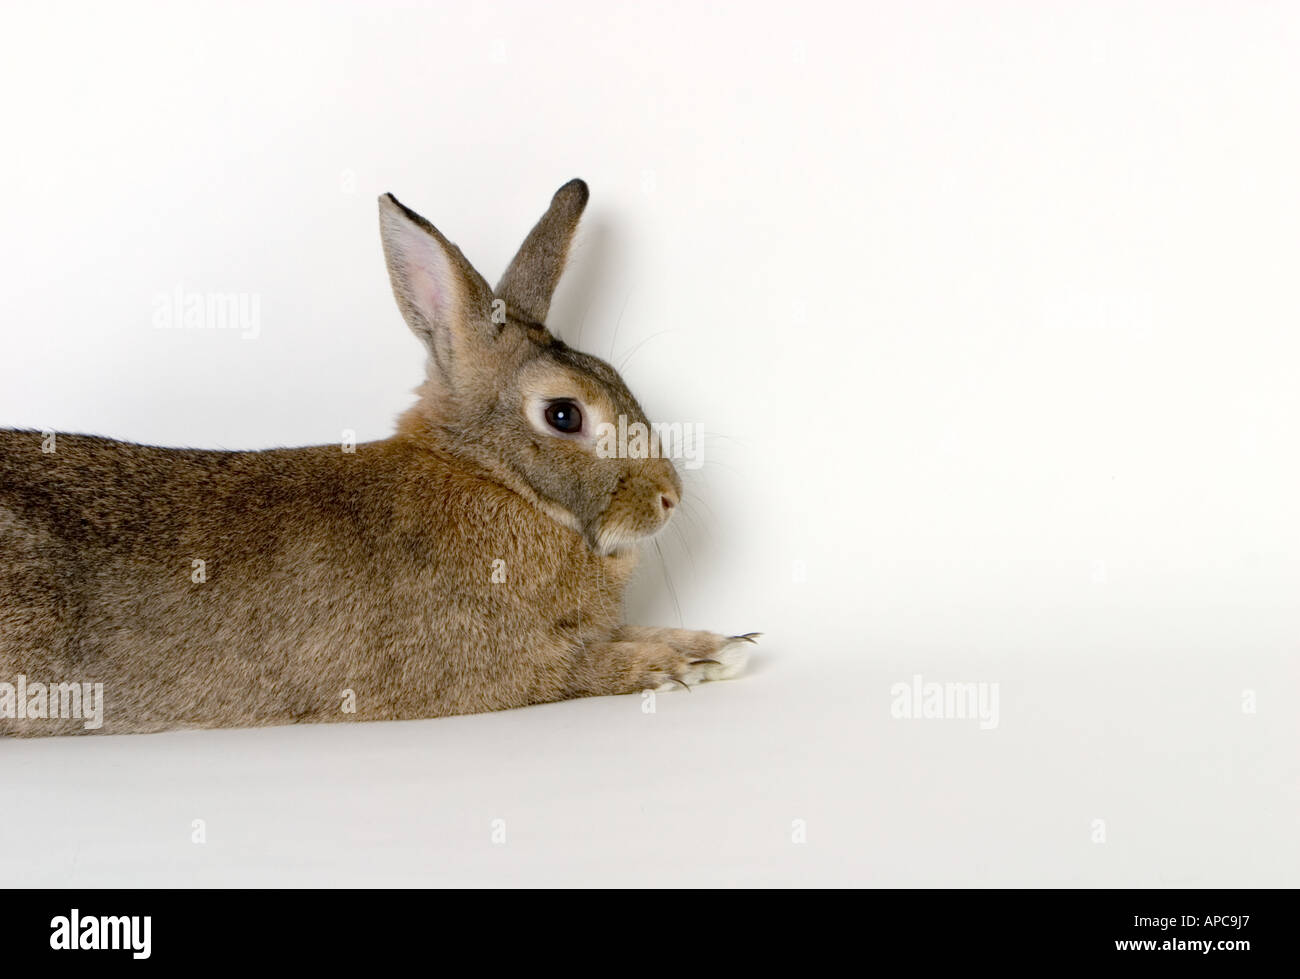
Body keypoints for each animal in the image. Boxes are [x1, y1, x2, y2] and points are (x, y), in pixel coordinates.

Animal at [0, 179, 755, 737]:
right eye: (565, 414)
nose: (669, 497)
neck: (493, 477)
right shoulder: (511, 668)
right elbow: (594, 667)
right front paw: (700, 660)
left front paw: (716, 639)